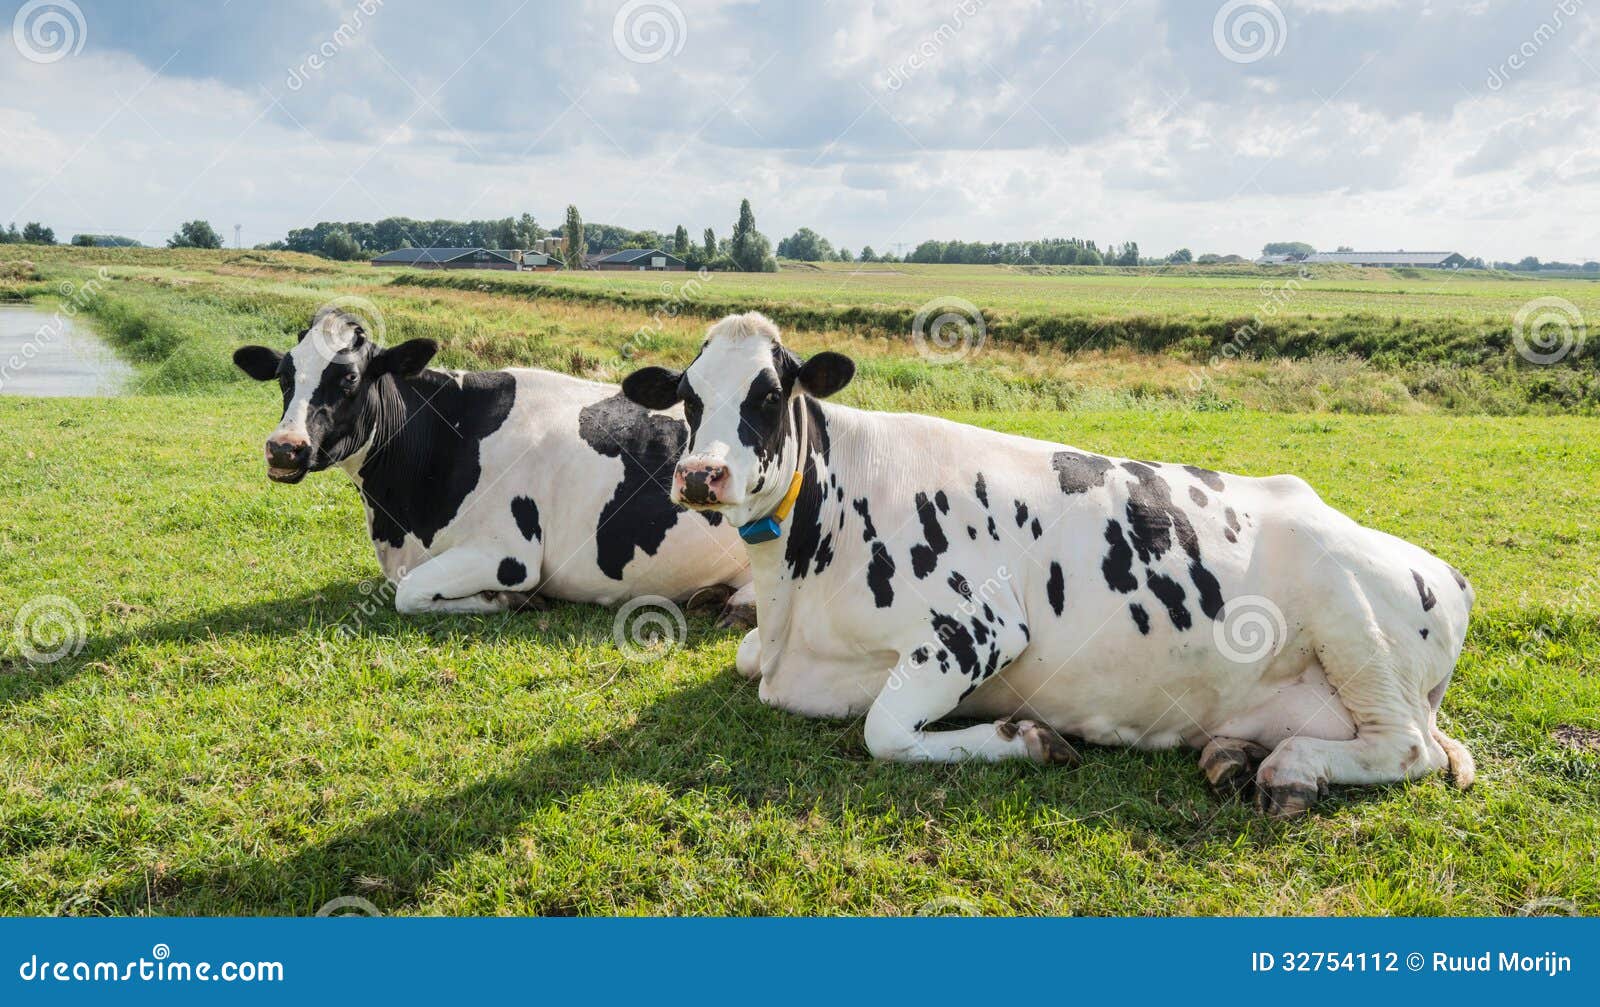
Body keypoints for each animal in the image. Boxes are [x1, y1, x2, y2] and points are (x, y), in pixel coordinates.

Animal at [232, 308, 753, 621]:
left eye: (349, 379)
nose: (285, 448)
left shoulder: (506, 554)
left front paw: (503, 599)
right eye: (284, 377)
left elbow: (409, 594)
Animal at [621, 312, 1477, 817]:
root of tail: (1449, 571)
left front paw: (1027, 738)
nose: (701, 475)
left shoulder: (978, 626)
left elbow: (883, 731)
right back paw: (1233, 754)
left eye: (771, 392)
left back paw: (1291, 768)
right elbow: (744, 656)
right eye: (689, 396)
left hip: (1355, 622)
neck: (793, 593)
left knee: (1409, 746)